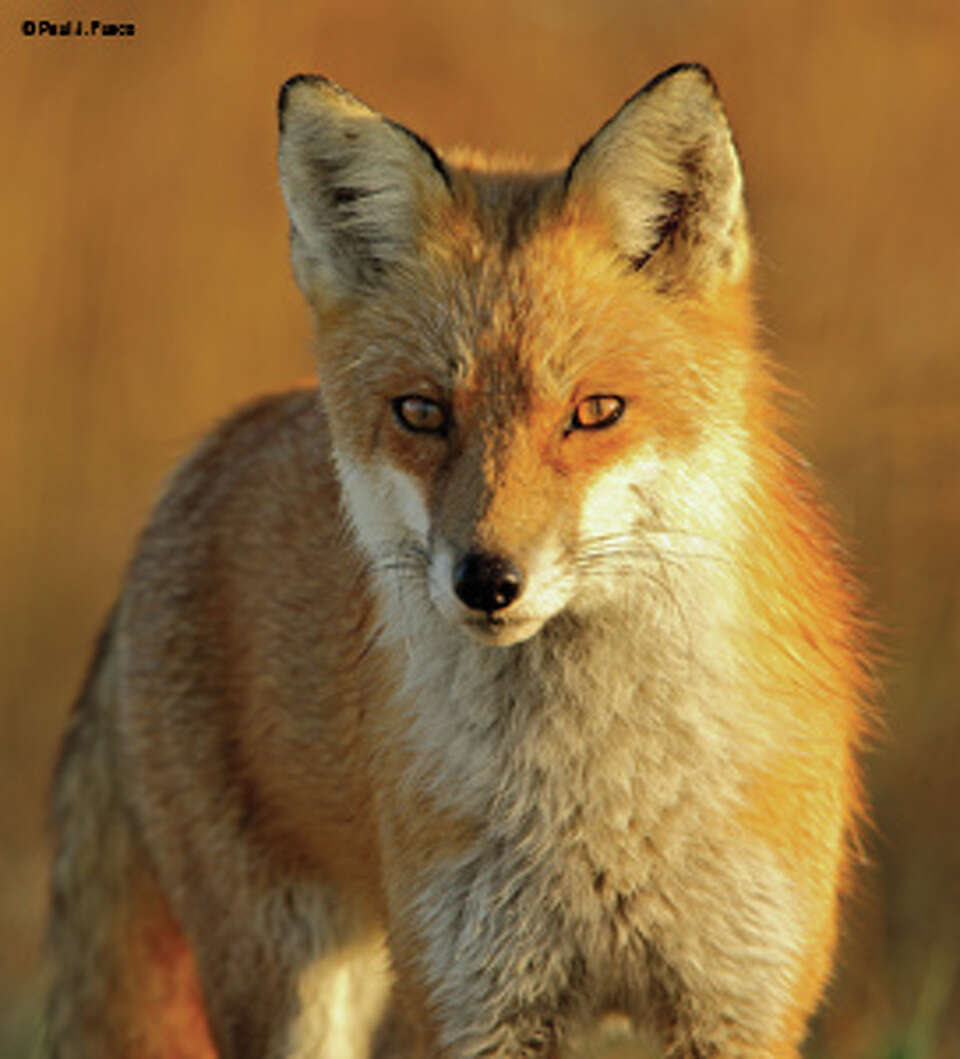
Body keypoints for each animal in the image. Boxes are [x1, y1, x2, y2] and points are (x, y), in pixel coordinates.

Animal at [45, 63, 872, 1059]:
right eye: (422, 413)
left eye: (596, 412)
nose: (486, 579)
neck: (596, 811)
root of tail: (209, 449)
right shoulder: (476, 1003)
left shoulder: (737, 1002)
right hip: (293, 978)